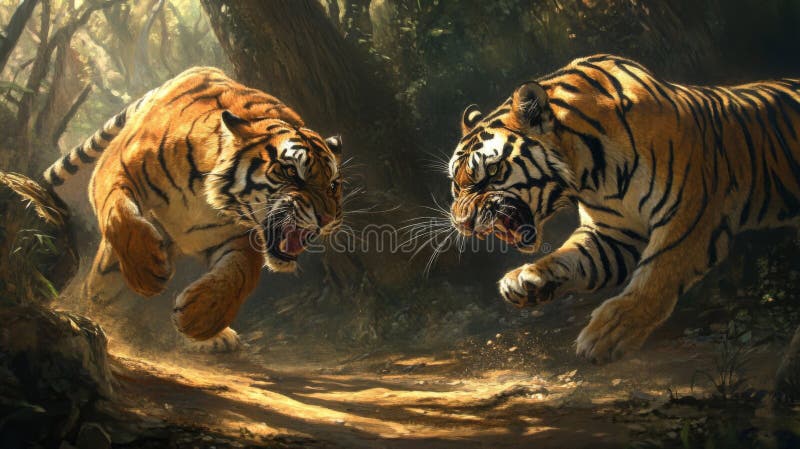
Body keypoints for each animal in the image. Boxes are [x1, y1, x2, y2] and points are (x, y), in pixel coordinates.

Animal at [42, 67, 344, 351]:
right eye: (291, 172)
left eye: (332, 184)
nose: (327, 218)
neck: (206, 198)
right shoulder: (115, 166)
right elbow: (120, 213)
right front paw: (145, 272)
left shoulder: (239, 236)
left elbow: (240, 275)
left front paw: (200, 318)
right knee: (101, 283)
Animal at [447, 54, 800, 365]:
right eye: (455, 182)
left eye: (492, 171)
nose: (462, 223)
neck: (590, 174)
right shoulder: (611, 234)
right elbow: (569, 257)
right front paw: (525, 280)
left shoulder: (688, 219)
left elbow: (655, 275)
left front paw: (609, 332)